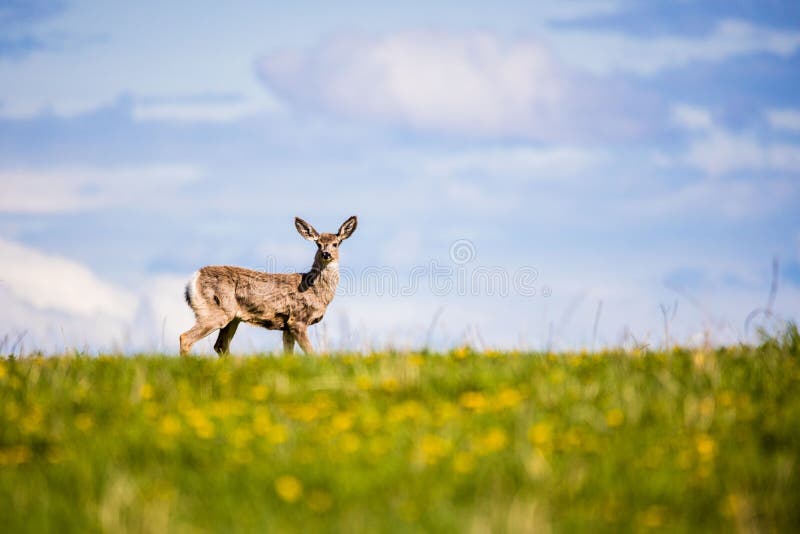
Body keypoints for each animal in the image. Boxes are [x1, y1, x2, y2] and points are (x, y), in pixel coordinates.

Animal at [179, 216, 357, 356]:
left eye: (336, 243)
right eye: (318, 244)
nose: (326, 254)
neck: (315, 290)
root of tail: (193, 279)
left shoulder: (287, 326)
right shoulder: (297, 320)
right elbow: (311, 353)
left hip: (233, 318)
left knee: (220, 346)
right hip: (215, 310)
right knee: (185, 338)